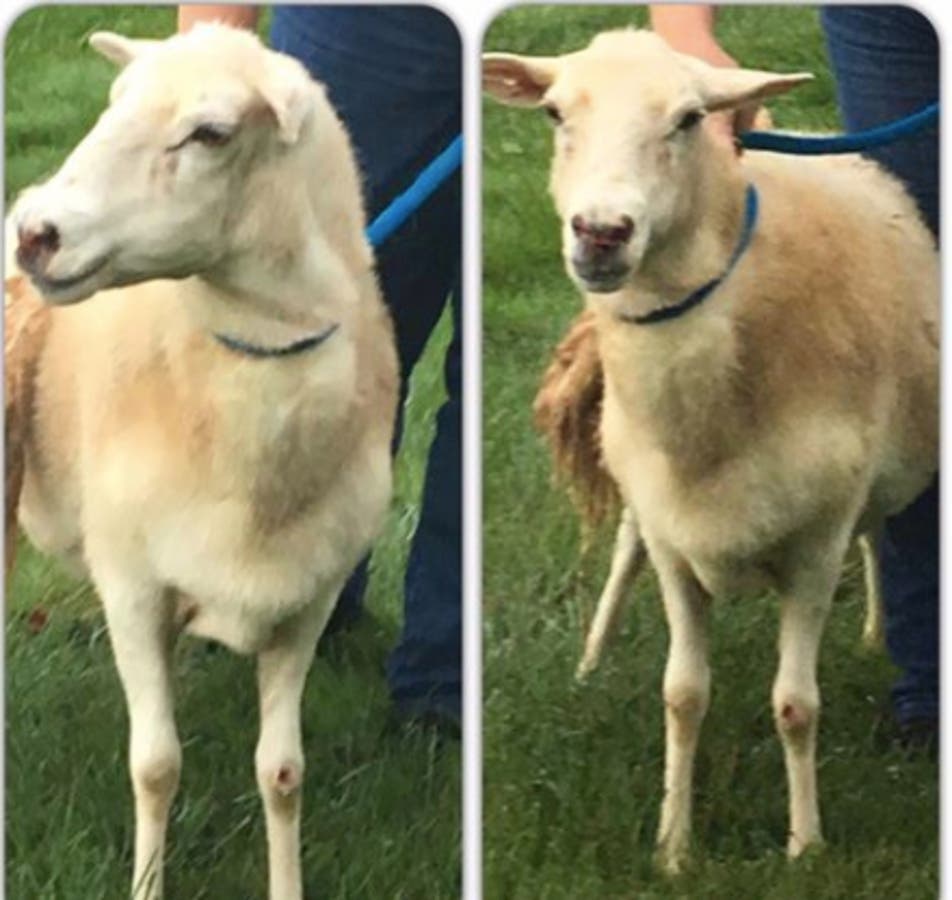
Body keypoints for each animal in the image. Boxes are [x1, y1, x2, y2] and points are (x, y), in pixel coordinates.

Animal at [7, 25, 398, 900]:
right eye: (113, 103)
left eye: (211, 133)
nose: (35, 233)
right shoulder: (130, 587)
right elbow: (155, 766)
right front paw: (148, 886)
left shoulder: (307, 597)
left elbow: (282, 773)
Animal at [484, 29, 938, 872]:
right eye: (556, 112)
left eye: (690, 119)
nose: (601, 232)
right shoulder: (674, 538)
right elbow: (683, 694)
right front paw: (673, 846)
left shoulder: (817, 542)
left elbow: (795, 705)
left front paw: (805, 845)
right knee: (623, 549)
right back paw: (590, 660)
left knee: (879, 536)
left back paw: (873, 632)